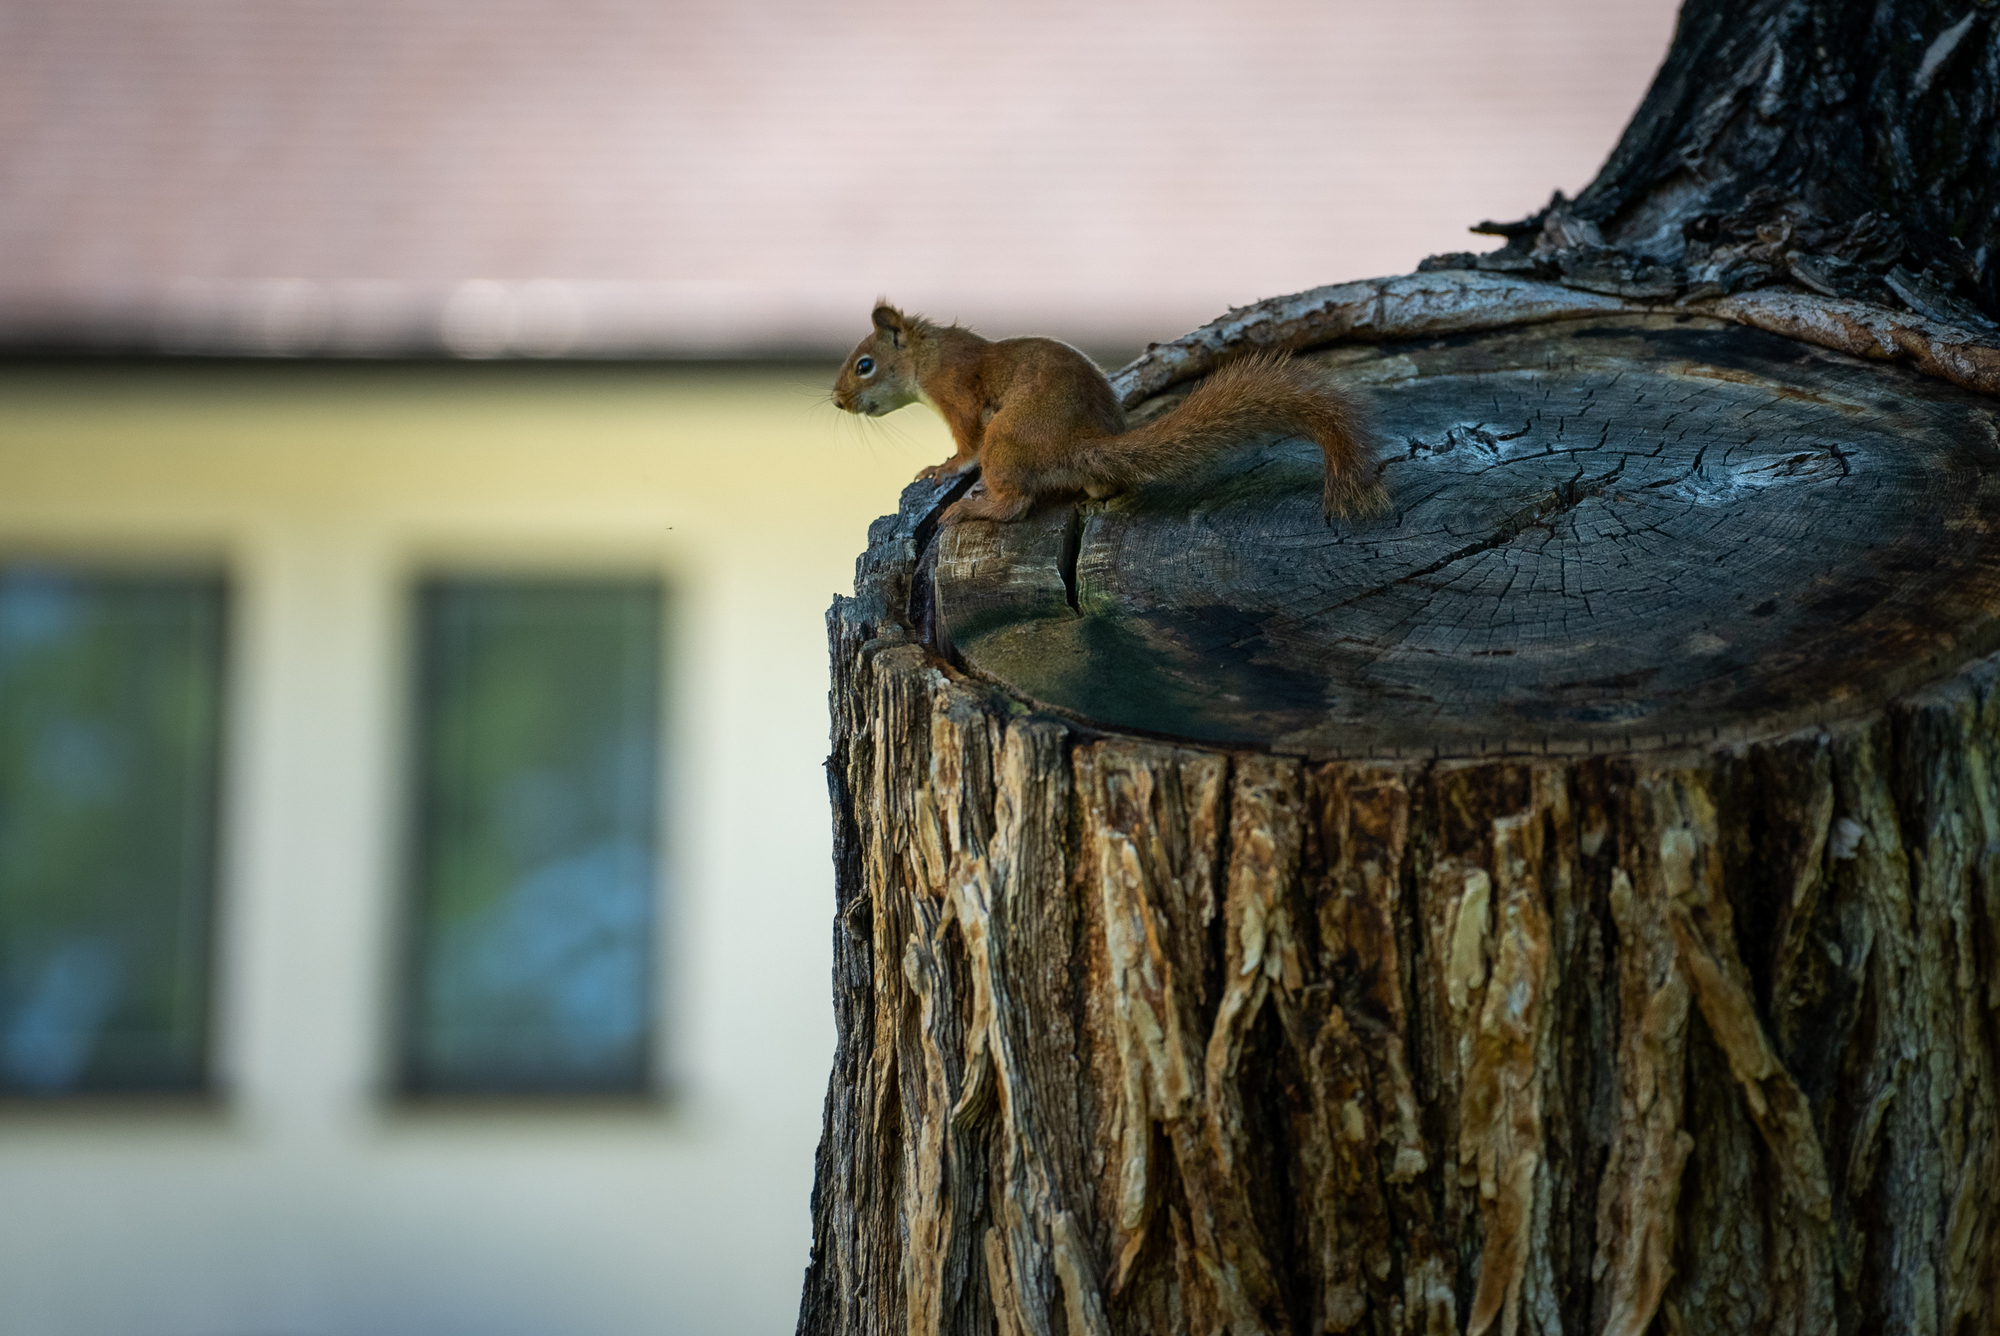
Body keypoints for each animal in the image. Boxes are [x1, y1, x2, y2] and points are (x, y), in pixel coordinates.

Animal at [832, 302, 1383, 525]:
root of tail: (1080, 444)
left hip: (1004, 441)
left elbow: (965, 446)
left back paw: (972, 507)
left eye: (864, 365)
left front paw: (941, 470)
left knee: (1015, 504)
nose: (837, 400)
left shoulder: (958, 394)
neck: (929, 353)